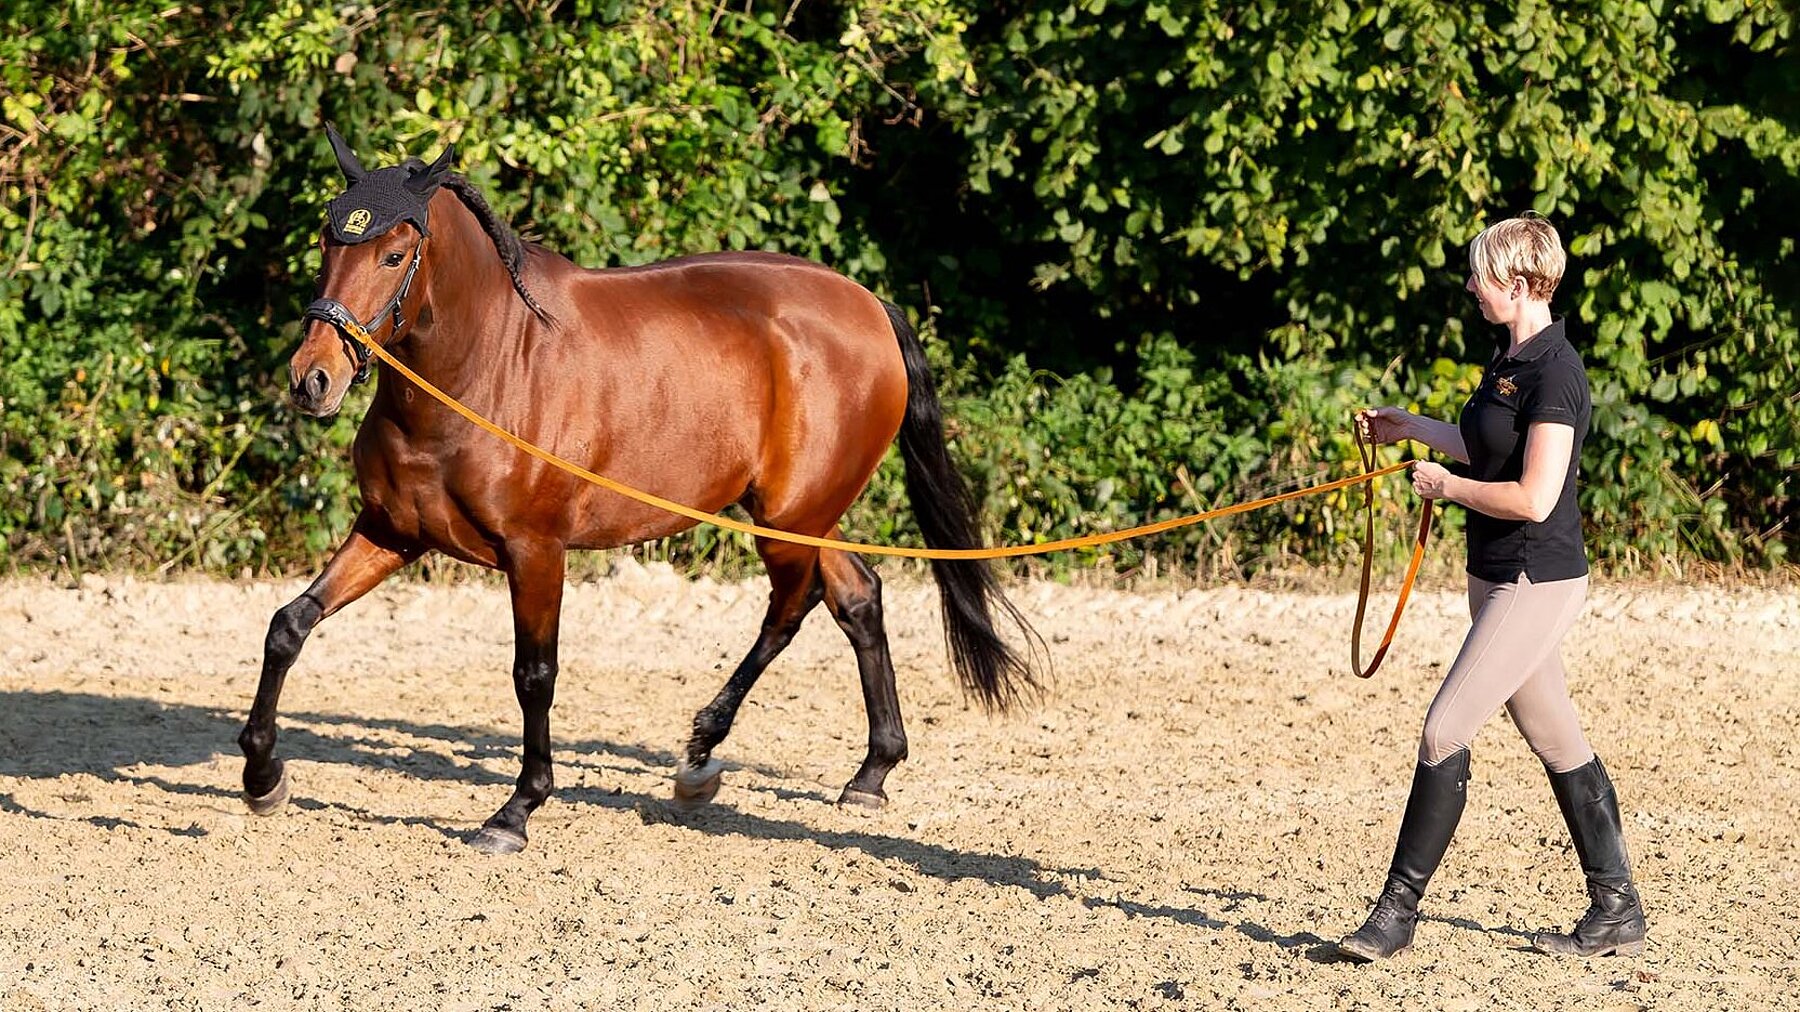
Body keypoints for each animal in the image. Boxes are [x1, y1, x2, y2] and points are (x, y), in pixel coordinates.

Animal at [238, 127, 1044, 853]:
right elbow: (288, 624)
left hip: (790, 519)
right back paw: (870, 772)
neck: (485, 370)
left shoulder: (537, 552)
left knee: (793, 607)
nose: (312, 379)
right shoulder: (391, 532)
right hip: (803, 512)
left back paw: (702, 755)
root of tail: (872, 307)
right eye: (327, 244)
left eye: (395, 253)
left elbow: (534, 674)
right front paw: (261, 776)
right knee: (856, 597)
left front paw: (516, 812)